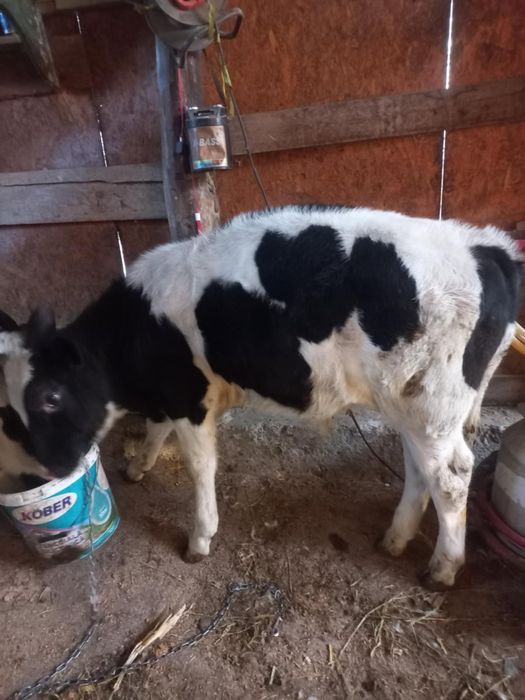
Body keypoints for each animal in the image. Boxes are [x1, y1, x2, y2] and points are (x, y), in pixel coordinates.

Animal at [0, 206, 521, 589]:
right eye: (11, 407)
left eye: (50, 396)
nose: (49, 469)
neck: (138, 326)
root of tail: (484, 245)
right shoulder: (171, 393)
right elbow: (154, 428)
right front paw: (139, 465)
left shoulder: (190, 396)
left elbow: (200, 467)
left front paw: (200, 537)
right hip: (411, 406)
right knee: (418, 470)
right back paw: (395, 539)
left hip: (433, 408)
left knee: (451, 476)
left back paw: (442, 568)